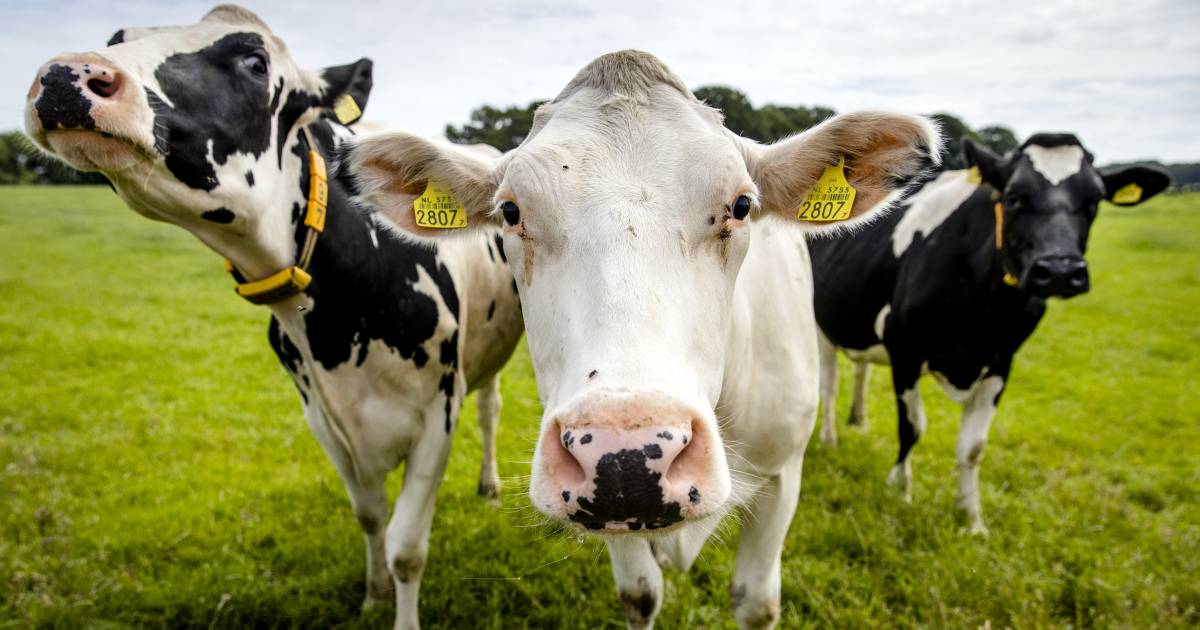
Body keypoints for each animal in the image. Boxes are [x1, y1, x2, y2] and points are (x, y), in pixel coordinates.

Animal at [23, 5, 523, 628]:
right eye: (117, 38)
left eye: (255, 62)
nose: (65, 76)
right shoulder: (324, 417)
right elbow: (370, 516)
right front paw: (372, 595)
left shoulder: (438, 413)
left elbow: (407, 547)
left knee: (490, 411)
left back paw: (489, 484)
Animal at [341, 50, 940, 629]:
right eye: (511, 211)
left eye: (741, 205)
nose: (624, 455)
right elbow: (640, 596)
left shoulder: (783, 469)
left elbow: (755, 602)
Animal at [810, 134, 1170, 535]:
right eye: (1013, 197)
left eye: (1094, 201)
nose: (1060, 270)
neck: (985, 311)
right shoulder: (905, 349)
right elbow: (911, 427)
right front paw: (900, 490)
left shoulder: (1002, 361)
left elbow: (973, 447)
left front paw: (971, 519)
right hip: (820, 325)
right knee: (828, 385)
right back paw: (829, 438)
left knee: (860, 368)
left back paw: (858, 420)